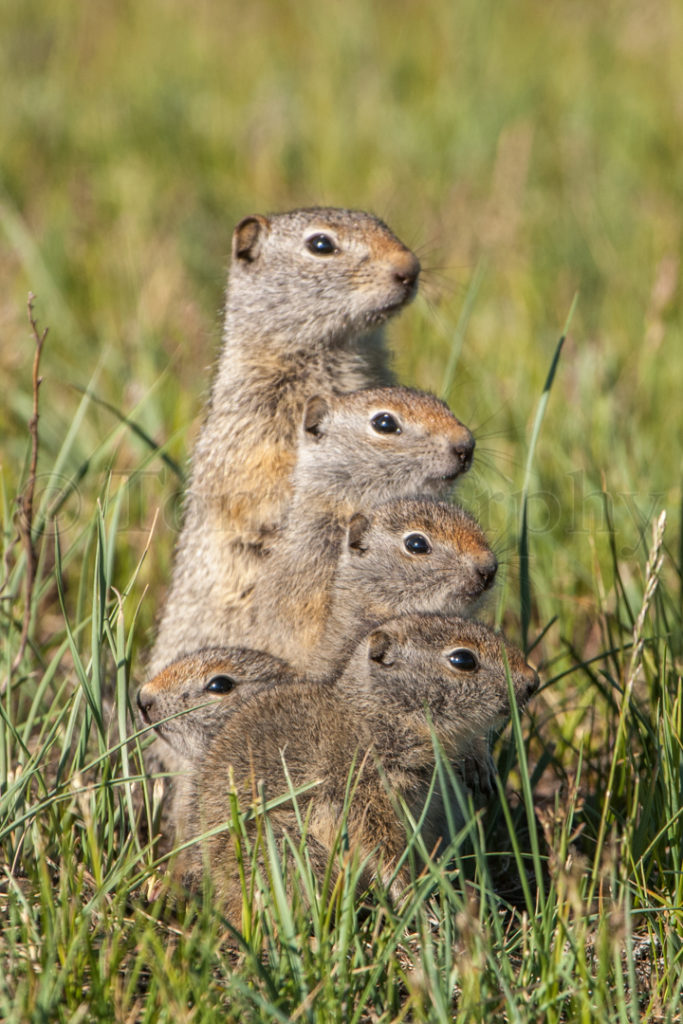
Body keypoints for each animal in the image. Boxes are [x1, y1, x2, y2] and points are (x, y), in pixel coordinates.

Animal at [174, 614, 539, 919]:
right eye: (463, 659)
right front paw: (415, 903)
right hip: (280, 844)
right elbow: (383, 851)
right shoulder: (364, 794)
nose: (533, 681)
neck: (377, 715)